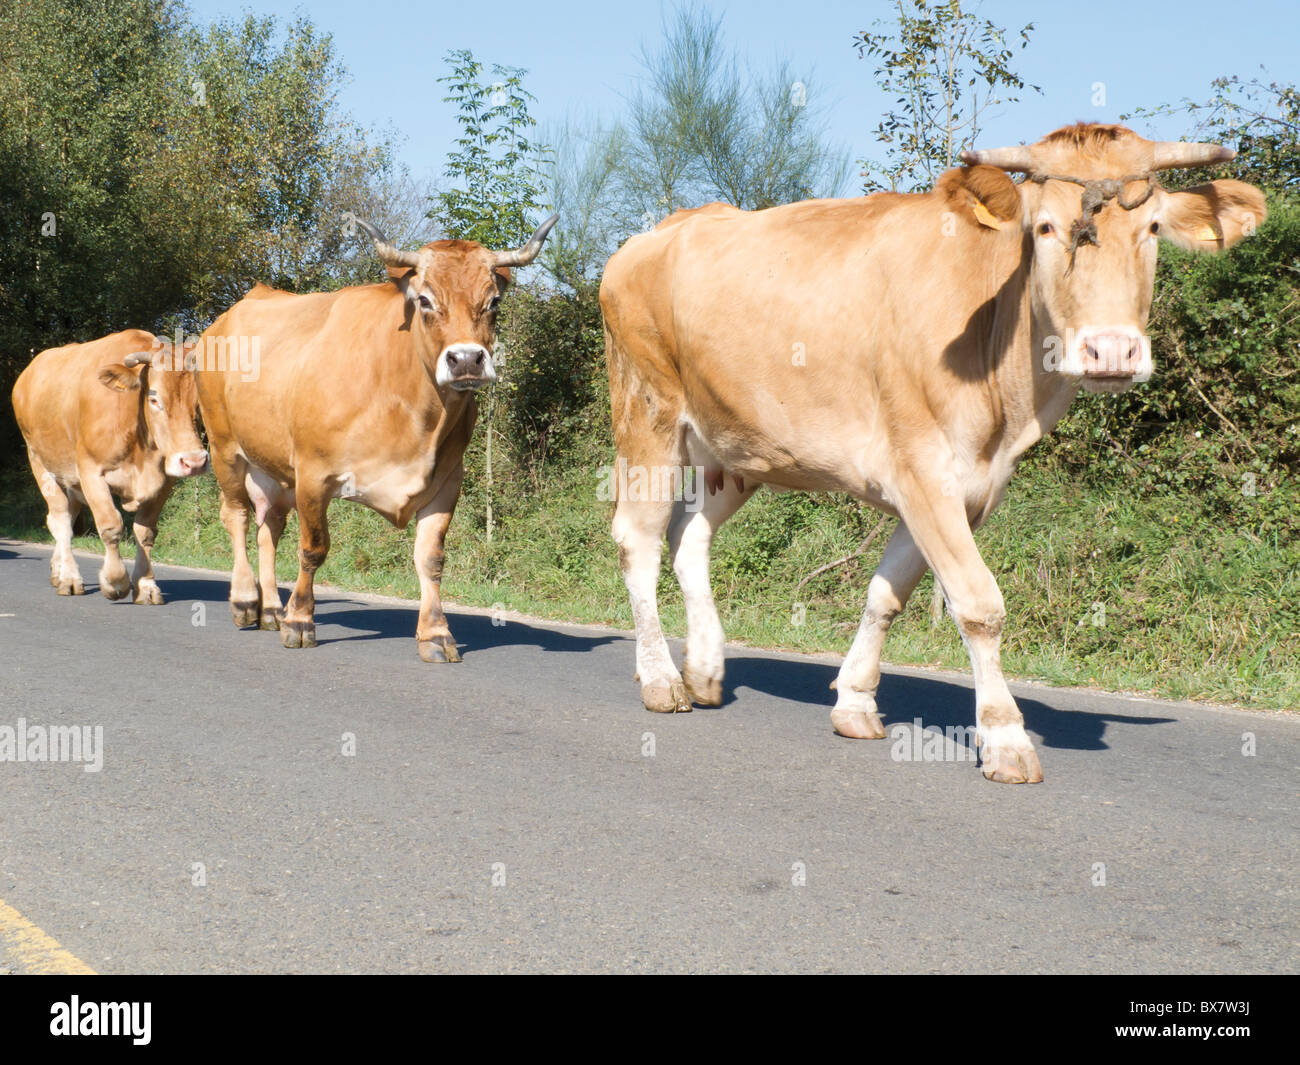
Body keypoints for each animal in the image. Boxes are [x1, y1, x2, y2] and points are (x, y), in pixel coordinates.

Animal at [11, 329, 209, 603]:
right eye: (154, 398)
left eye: (198, 402)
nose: (194, 461)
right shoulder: (91, 472)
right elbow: (111, 526)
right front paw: (115, 581)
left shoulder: (165, 480)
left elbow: (145, 532)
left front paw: (146, 585)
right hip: (41, 463)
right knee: (60, 520)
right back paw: (69, 578)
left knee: (65, 517)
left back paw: (58, 570)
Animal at [195, 215, 558, 659]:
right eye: (424, 300)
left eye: (493, 303)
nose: (467, 360)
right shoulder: (313, 474)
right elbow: (313, 548)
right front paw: (300, 622)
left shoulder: (446, 481)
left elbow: (430, 558)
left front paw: (436, 633)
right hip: (225, 446)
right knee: (237, 516)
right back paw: (247, 600)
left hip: (272, 467)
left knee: (269, 527)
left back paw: (270, 610)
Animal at [599, 123, 1266, 783]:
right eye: (1045, 228)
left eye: (1152, 229)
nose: (1112, 351)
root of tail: (658, 230)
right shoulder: (921, 470)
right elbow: (978, 604)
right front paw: (1004, 738)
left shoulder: (966, 488)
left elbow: (886, 594)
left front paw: (855, 702)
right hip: (648, 411)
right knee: (638, 538)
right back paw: (661, 679)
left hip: (738, 446)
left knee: (690, 535)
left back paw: (705, 670)